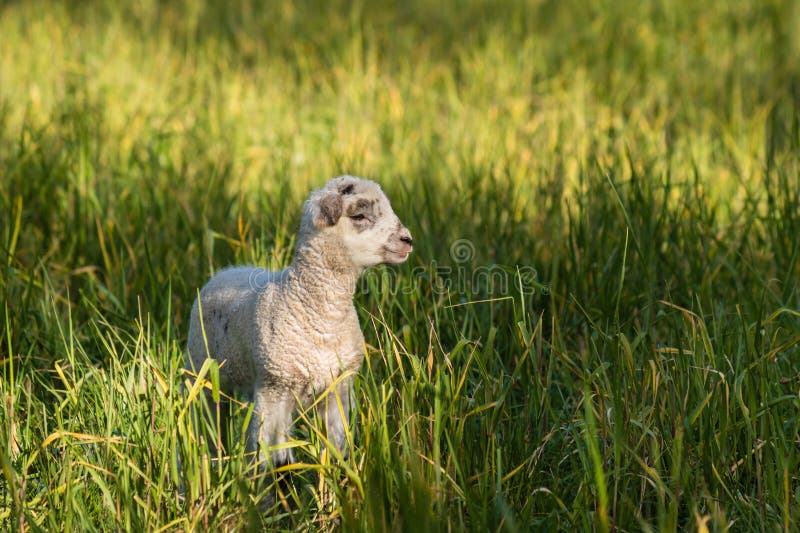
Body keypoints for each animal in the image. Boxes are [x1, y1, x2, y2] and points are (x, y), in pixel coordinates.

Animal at [185, 175, 413, 467]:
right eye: (360, 215)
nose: (407, 240)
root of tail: (227, 270)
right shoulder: (275, 389)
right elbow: (274, 462)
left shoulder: (338, 390)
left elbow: (337, 451)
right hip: (201, 373)